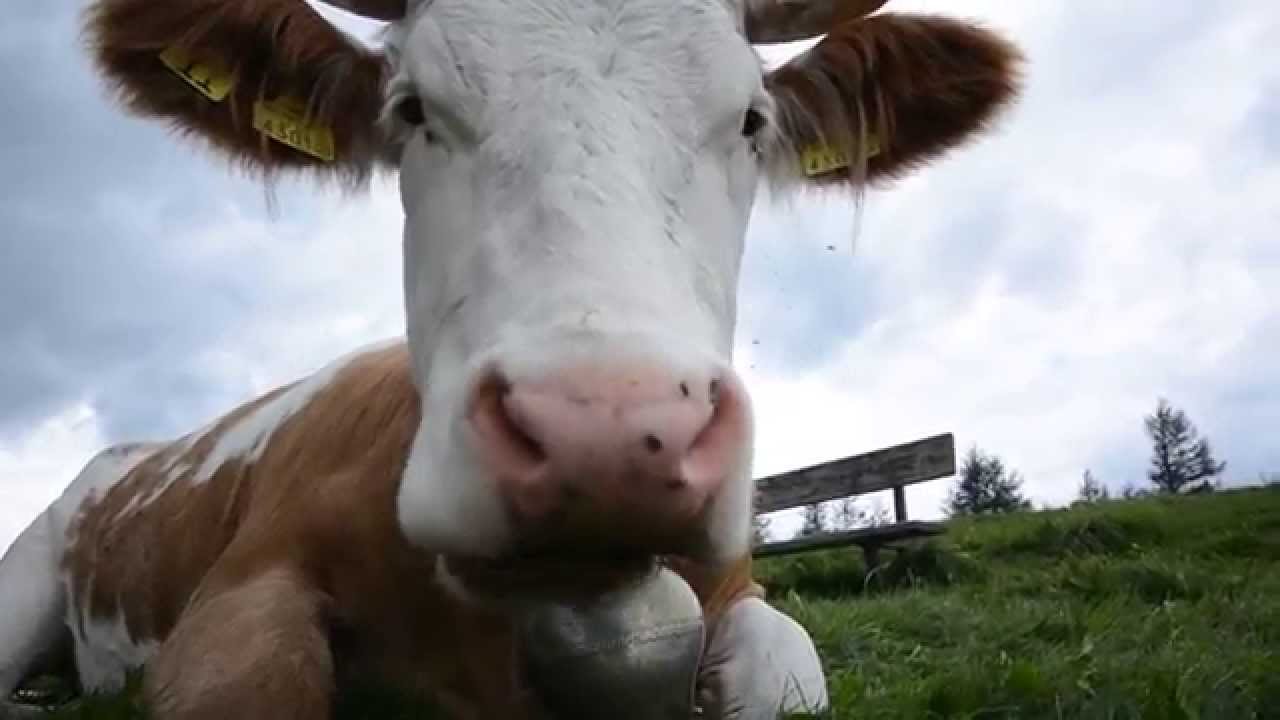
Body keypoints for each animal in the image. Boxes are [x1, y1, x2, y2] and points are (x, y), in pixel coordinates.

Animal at [0, 0, 1023, 717]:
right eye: (411, 108)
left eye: (750, 120)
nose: (600, 435)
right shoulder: (245, 583)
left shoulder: (742, 595)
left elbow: (786, 673)